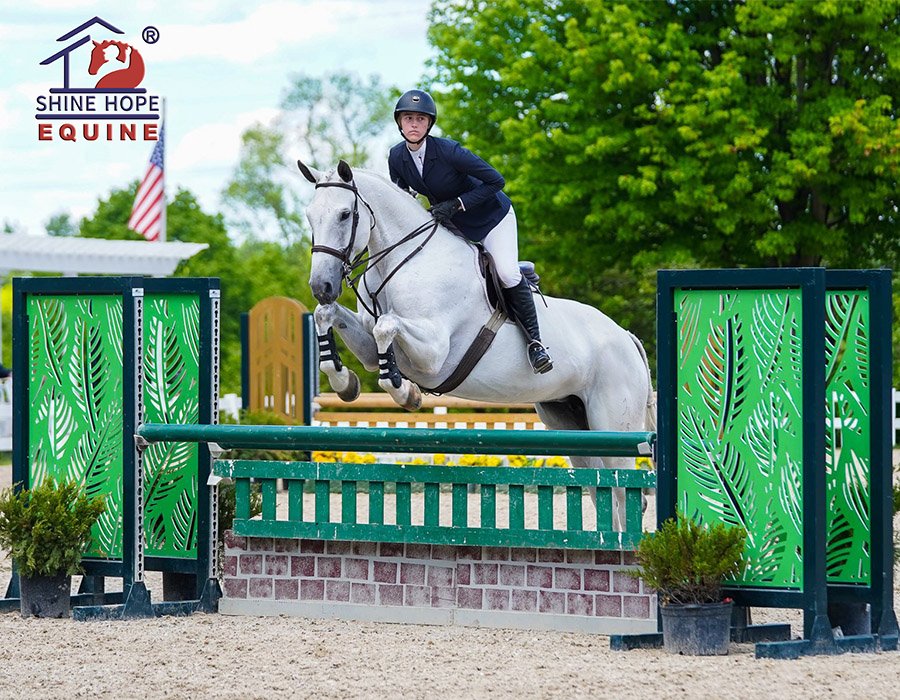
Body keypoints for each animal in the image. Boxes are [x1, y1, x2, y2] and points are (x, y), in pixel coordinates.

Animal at [297, 160, 656, 528]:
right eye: (310, 216)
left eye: (344, 214)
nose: (322, 286)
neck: (406, 261)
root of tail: (626, 336)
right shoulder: (371, 347)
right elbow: (328, 317)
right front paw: (345, 381)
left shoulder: (433, 354)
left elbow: (387, 327)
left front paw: (406, 393)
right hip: (569, 421)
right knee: (605, 491)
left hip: (613, 421)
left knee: (622, 492)